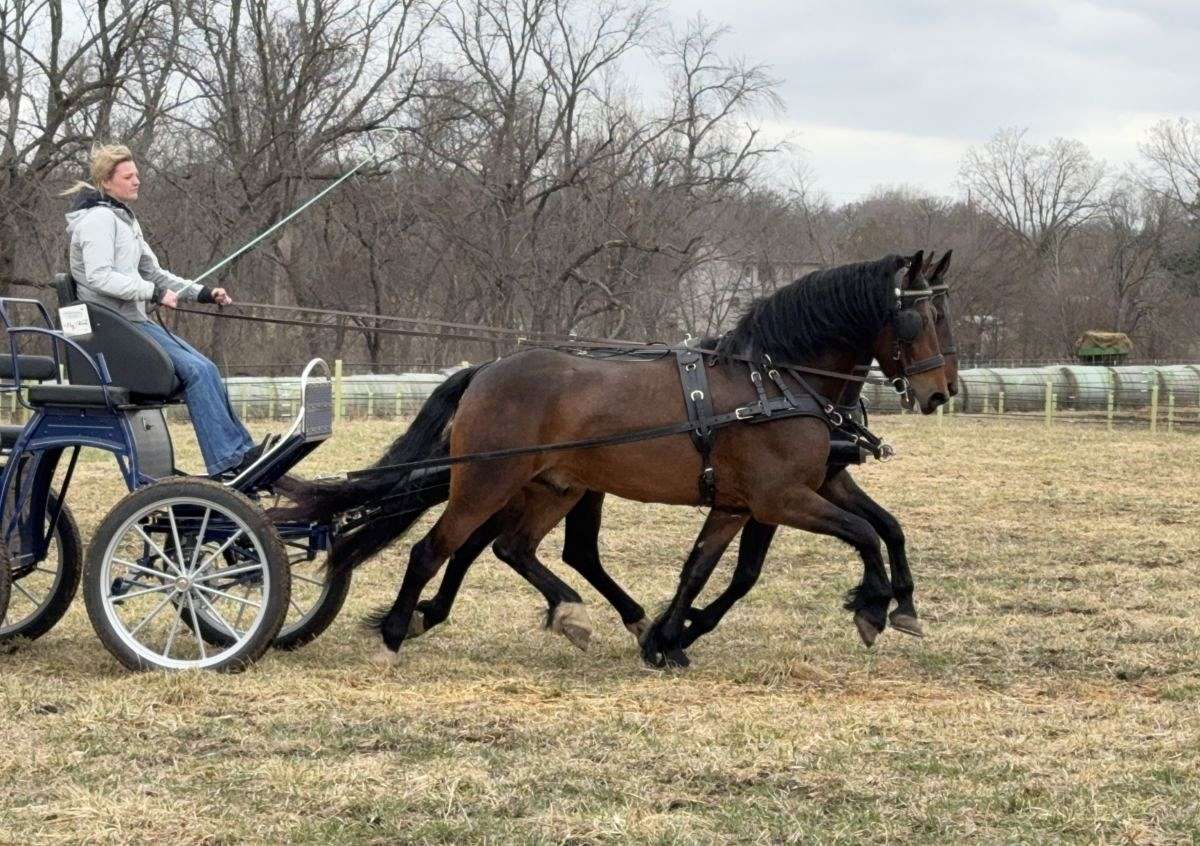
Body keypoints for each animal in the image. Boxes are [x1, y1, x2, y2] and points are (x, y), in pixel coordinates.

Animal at [279, 252, 949, 667]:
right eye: (916, 317)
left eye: (943, 314)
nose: (939, 393)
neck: (772, 381)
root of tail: (487, 371)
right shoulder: (781, 498)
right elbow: (860, 534)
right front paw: (873, 606)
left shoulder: (756, 500)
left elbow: (711, 569)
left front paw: (669, 636)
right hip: (487, 482)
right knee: (435, 549)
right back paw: (396, 635)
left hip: (551, 487)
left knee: (512, 548)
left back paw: (569, 614)